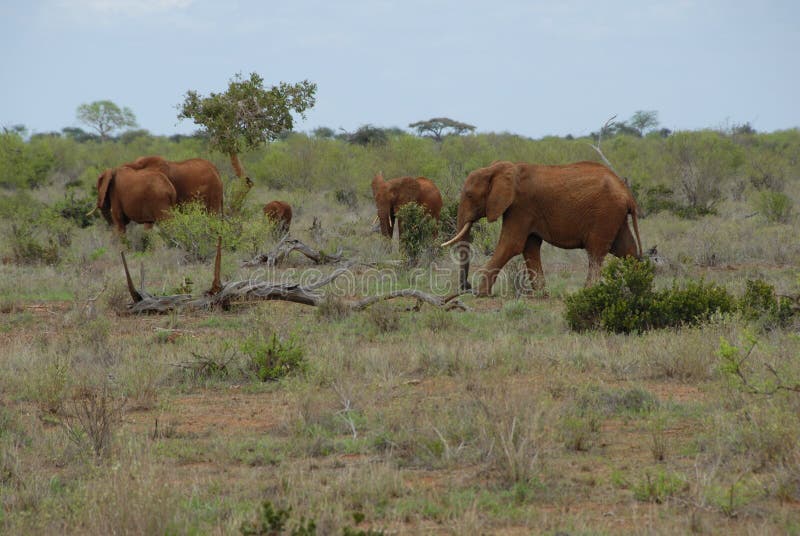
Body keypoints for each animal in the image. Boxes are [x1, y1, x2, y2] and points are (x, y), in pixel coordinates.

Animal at [442, 160, 642, 296]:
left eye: (469, 195)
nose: (467, 288)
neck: (499, 168)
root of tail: (627, 193)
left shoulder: (521, 207)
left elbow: (511, 245)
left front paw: (481, 294)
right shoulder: (526, 212)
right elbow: (529, 247)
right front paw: (541, 294)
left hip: (605, 214)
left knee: (596, 252)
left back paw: (587, 293)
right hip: (615, 216)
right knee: (626, 249)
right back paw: (638, 287)